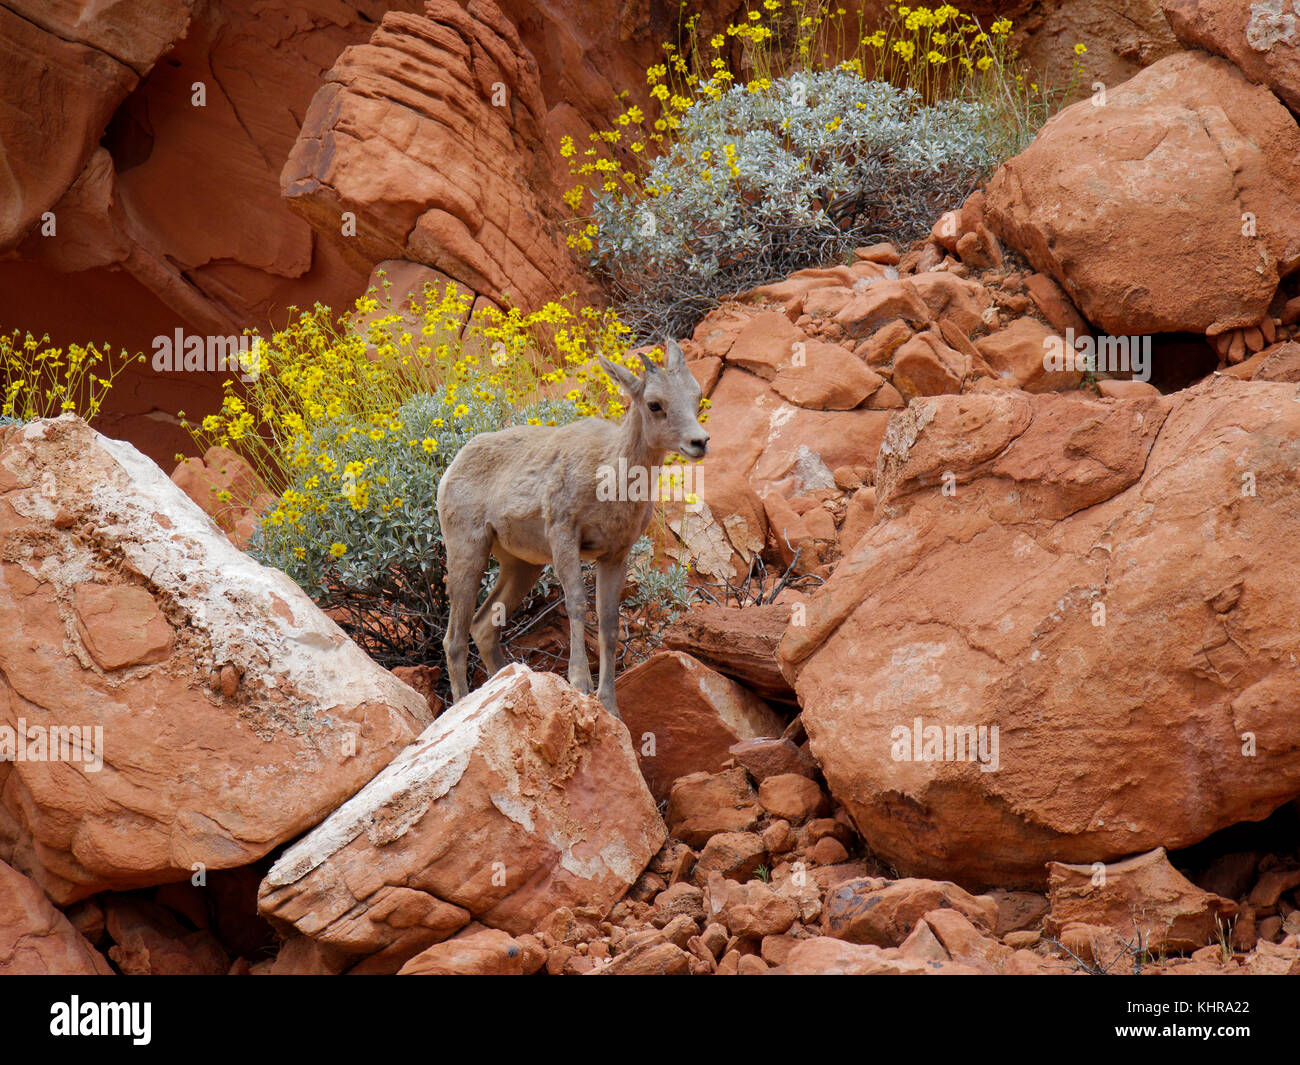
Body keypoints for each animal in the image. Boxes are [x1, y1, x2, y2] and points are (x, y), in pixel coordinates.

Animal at [436, 338, 709, 718]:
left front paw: (609, 705)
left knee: (483, 627)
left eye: (696, 396)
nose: (700, 442)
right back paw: (462, 704)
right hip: (467, 550)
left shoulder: (615, 555)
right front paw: (579, 683)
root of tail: (452, 468)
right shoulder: (564, 535)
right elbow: (577, 602)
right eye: (655, 404)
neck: (609, 476)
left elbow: (608, 622)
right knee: (455, 639)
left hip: (522, 565)